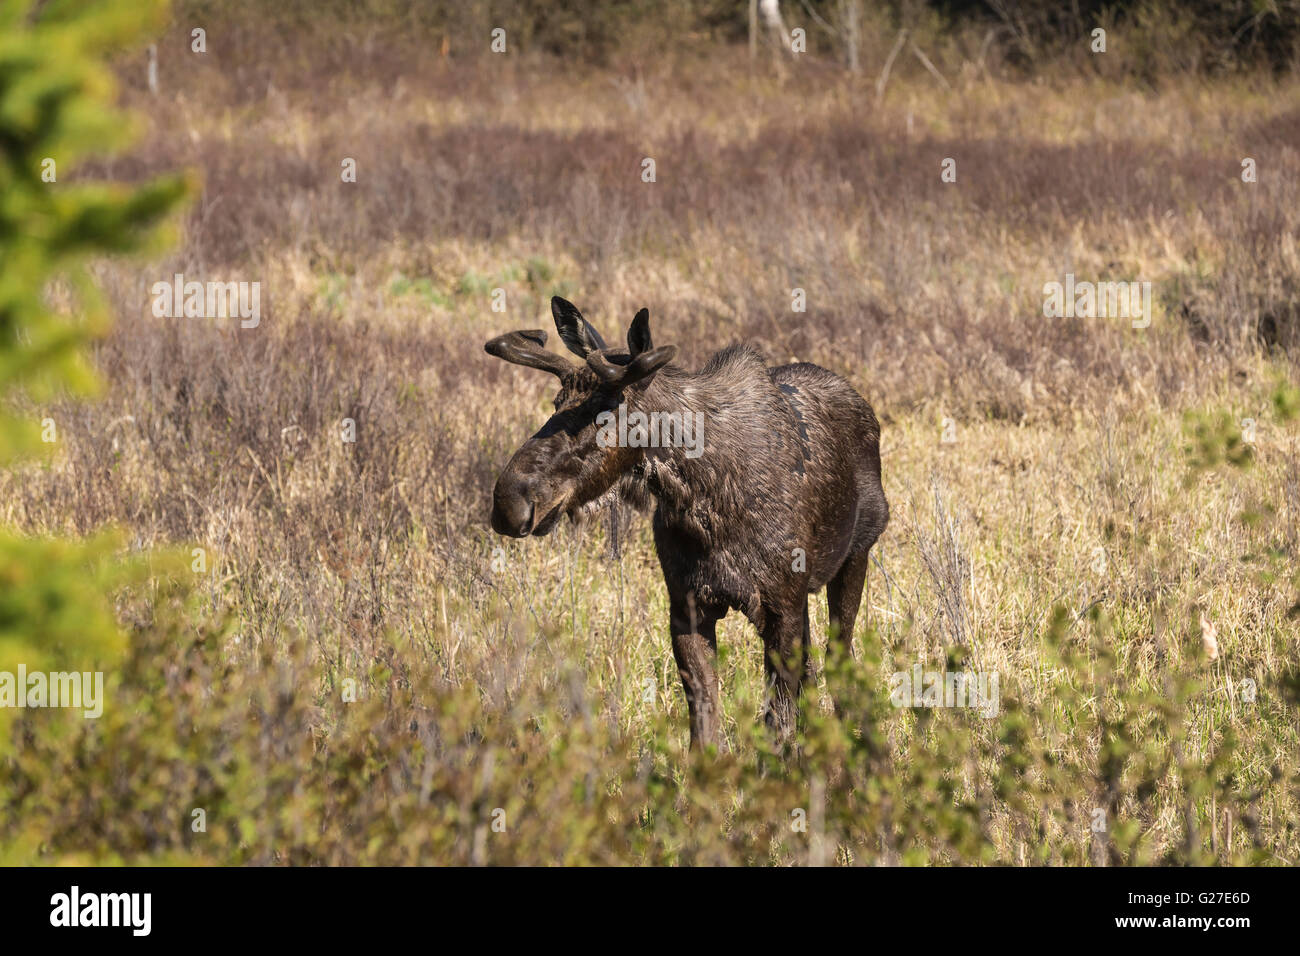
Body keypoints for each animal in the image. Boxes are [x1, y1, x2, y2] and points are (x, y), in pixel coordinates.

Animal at [485, 297, 889, 751]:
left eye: (608, 413)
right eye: (557, 401)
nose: (509, 500)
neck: (705, 506)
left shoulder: (781, 606)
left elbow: (776, 728)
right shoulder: (687, 607)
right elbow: (704, 728)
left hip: (856, 554)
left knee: (841, 655)